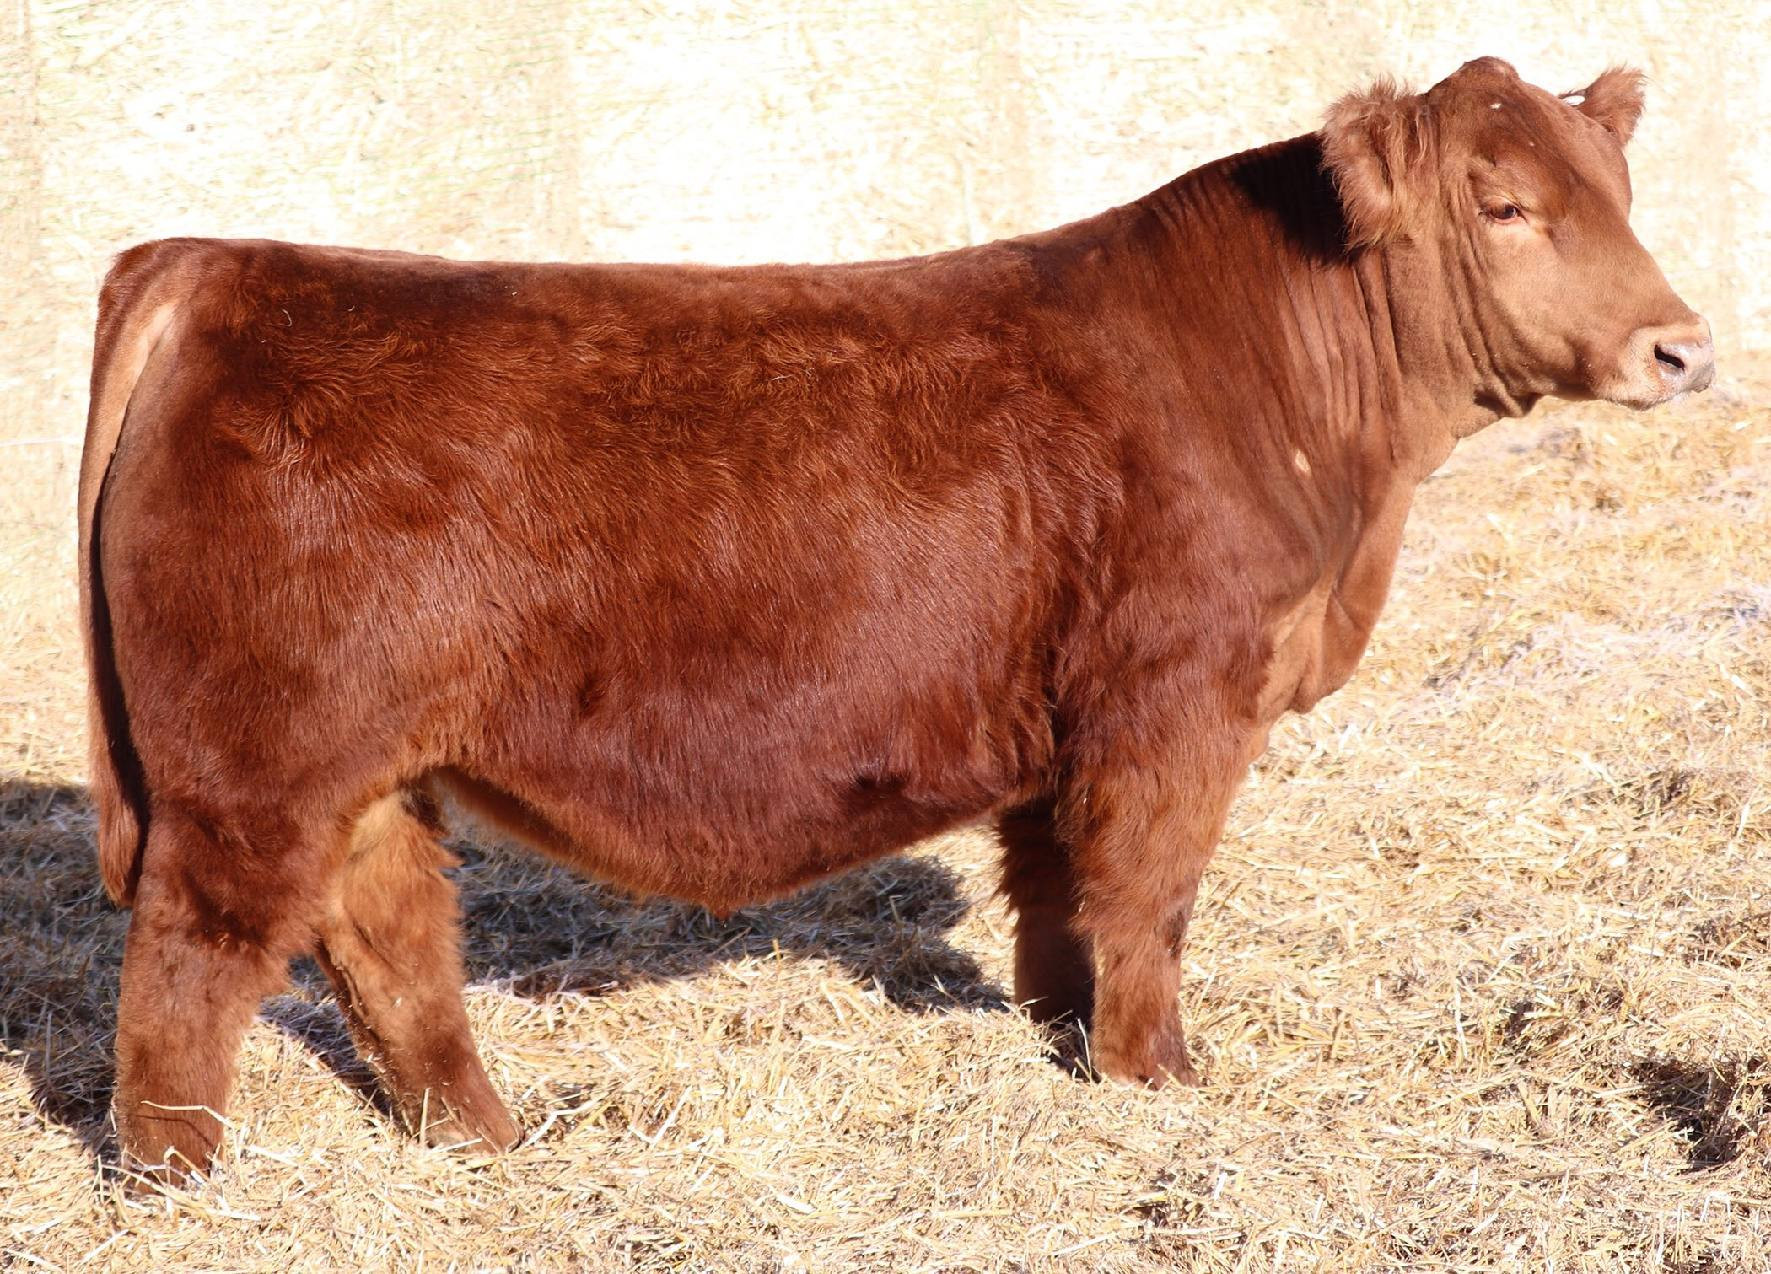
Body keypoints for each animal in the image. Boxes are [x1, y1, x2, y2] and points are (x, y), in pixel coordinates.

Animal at [79, 56, 1712, 1178]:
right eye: (1504, 206)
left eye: (1620, 196)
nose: (1680, 347)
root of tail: (218, 263)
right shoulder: (1176, 697)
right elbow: (1150, 893)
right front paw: (1160, 1077)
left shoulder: (1070, 714)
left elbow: (1058, 888)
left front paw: (1064, 1035)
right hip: (251, 772)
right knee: (190, 966)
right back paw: (184, 1181)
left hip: (360, 774)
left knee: (389, 939)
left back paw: (492, 1137)